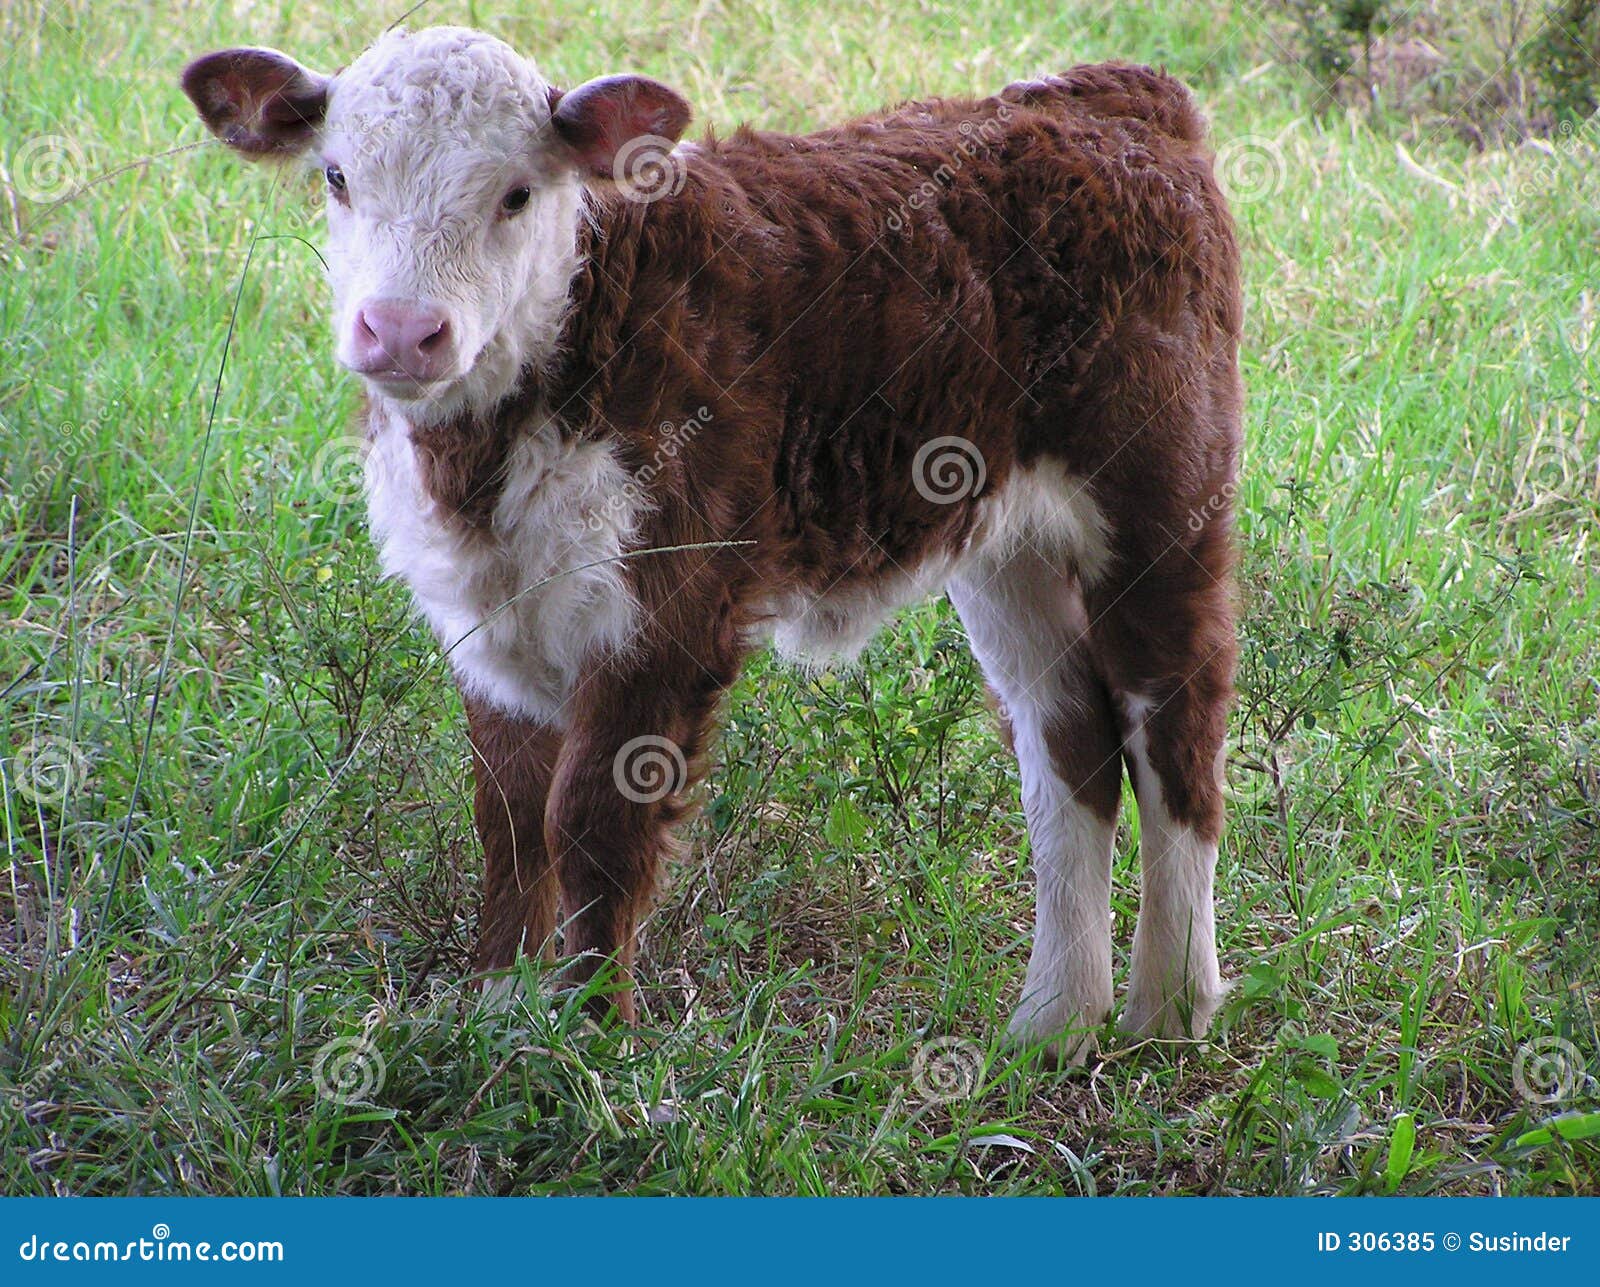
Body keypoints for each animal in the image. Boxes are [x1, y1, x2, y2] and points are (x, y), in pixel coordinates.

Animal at [182, 24, 1242, 1061]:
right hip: (1006, 546)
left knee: (1176, 725)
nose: (402, 331)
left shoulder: (666, 603)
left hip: (1160, 501)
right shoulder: (485, 618)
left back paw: (1170, 1008)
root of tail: (1108, 94)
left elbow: (590, 818)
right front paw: (495, 1012)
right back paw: (1053, 1022)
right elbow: (510, 816)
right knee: (1070, 740)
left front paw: (585, 1038)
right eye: (337, 176)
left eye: (517, 193)